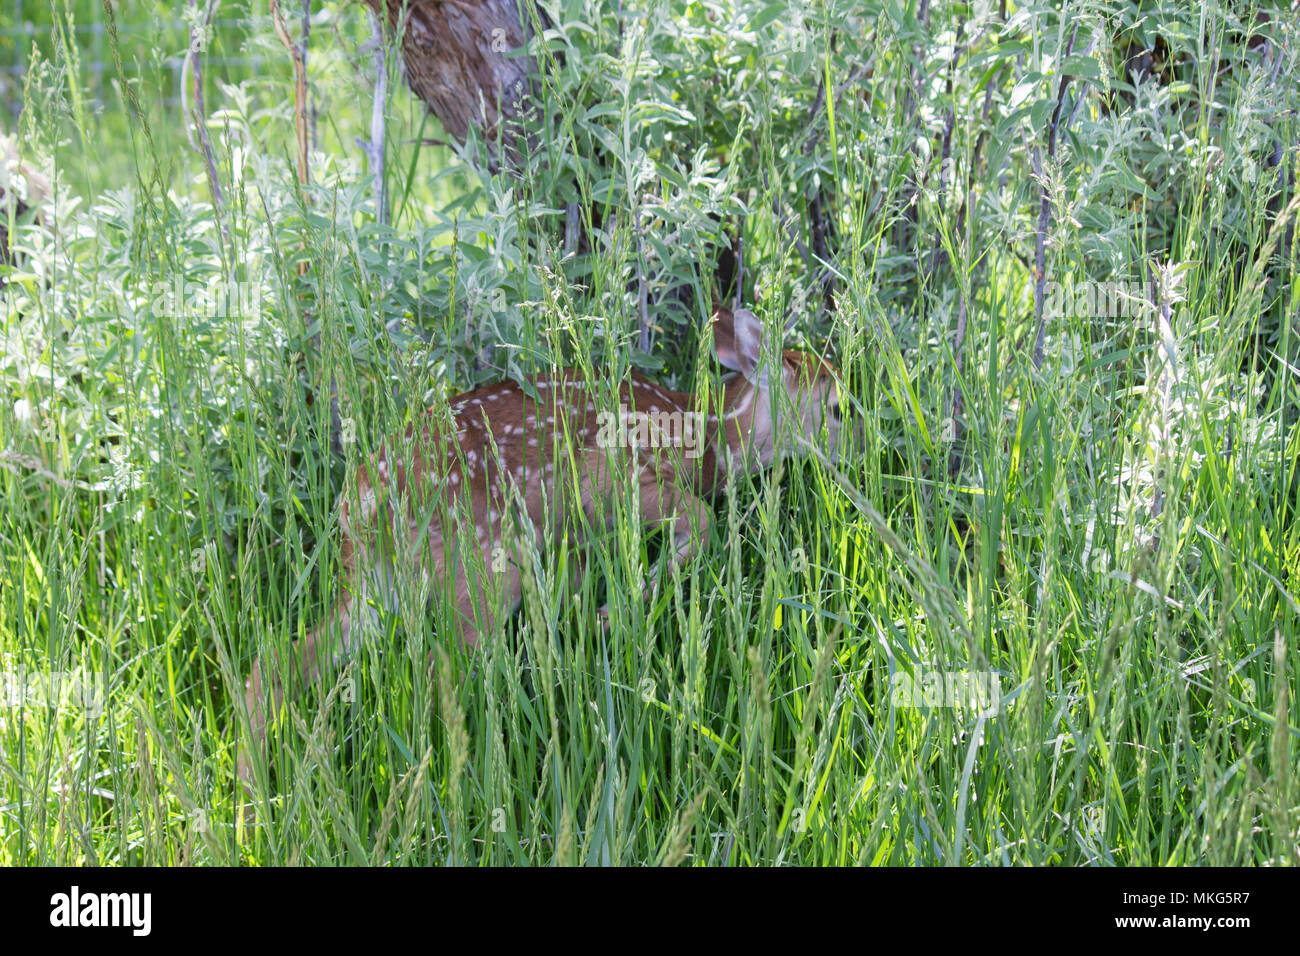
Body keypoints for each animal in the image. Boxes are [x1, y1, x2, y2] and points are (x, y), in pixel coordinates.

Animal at [236, 305, 850, 800]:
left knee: (276, 664)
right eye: (840, 406)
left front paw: (598, 616)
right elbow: (702, 524)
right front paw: (618, 609)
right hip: (483, 565)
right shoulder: (618, 480)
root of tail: (362, 502)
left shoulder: (569, 543)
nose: (863, 451)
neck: (709, 438)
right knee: (439, 669)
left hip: (380, 585)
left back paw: (253, 801)